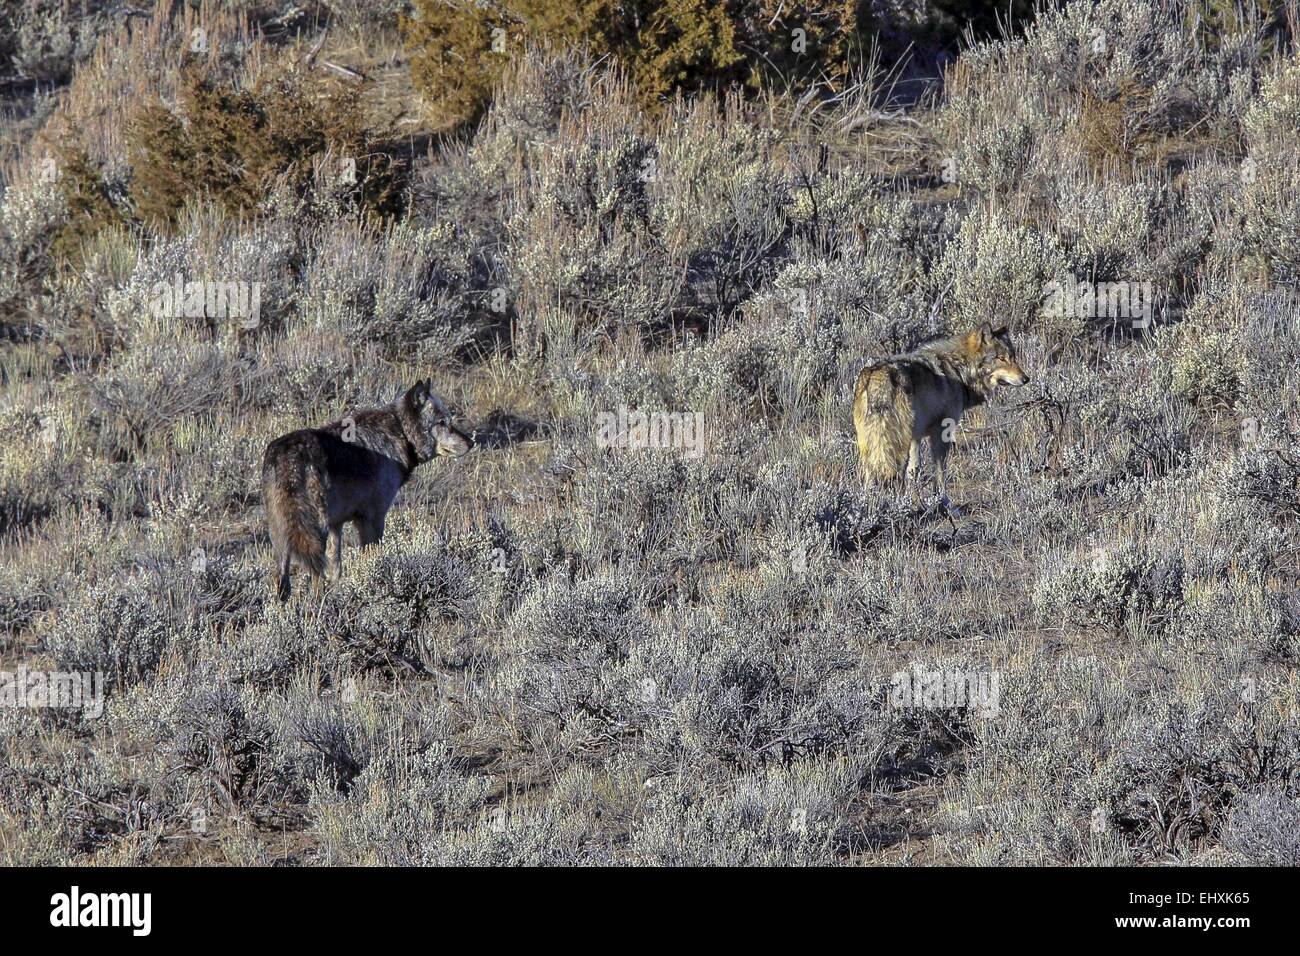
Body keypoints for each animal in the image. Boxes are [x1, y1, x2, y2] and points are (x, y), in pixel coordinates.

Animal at [262, 380, 473, 600]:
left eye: (450, 420)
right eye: (442, 423)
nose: (471, 442)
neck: (400, 432)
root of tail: (287, 455)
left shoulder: (338, 525)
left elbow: (336, 568)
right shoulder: (372, 519)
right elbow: (372, 560)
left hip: (281, 536)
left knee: (282, 582)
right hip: (315, 531)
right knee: (315, 577)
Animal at [852, 323, 1028, 504]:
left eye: (1013, 357)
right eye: (1001, 358)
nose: (1026, 379)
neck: (958, 369)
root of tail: (876, 376)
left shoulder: (916, 437)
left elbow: (914, 472)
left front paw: (916, 500)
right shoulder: (941, 432)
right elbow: (940, 471)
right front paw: (942, 500)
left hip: (870, 445)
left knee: (871, 475)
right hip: (896, 445)